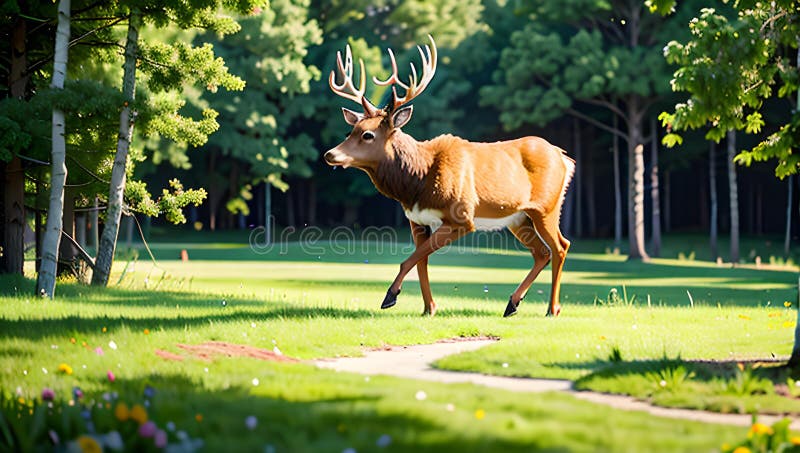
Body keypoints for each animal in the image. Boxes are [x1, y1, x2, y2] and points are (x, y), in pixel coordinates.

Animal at [323, 36, 575, 318]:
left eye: (368, 134)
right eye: (350, 130)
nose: (330, 154)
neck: (417, 181)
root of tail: (565, 158)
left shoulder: (461, 216)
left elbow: (410, 259)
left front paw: (390, 296)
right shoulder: (416, 219)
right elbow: (421, 259)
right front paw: (429, 308)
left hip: (546, 207)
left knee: (560, 246)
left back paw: (552, 309)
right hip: (518, 218)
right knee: (541, 252)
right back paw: (512, 304)